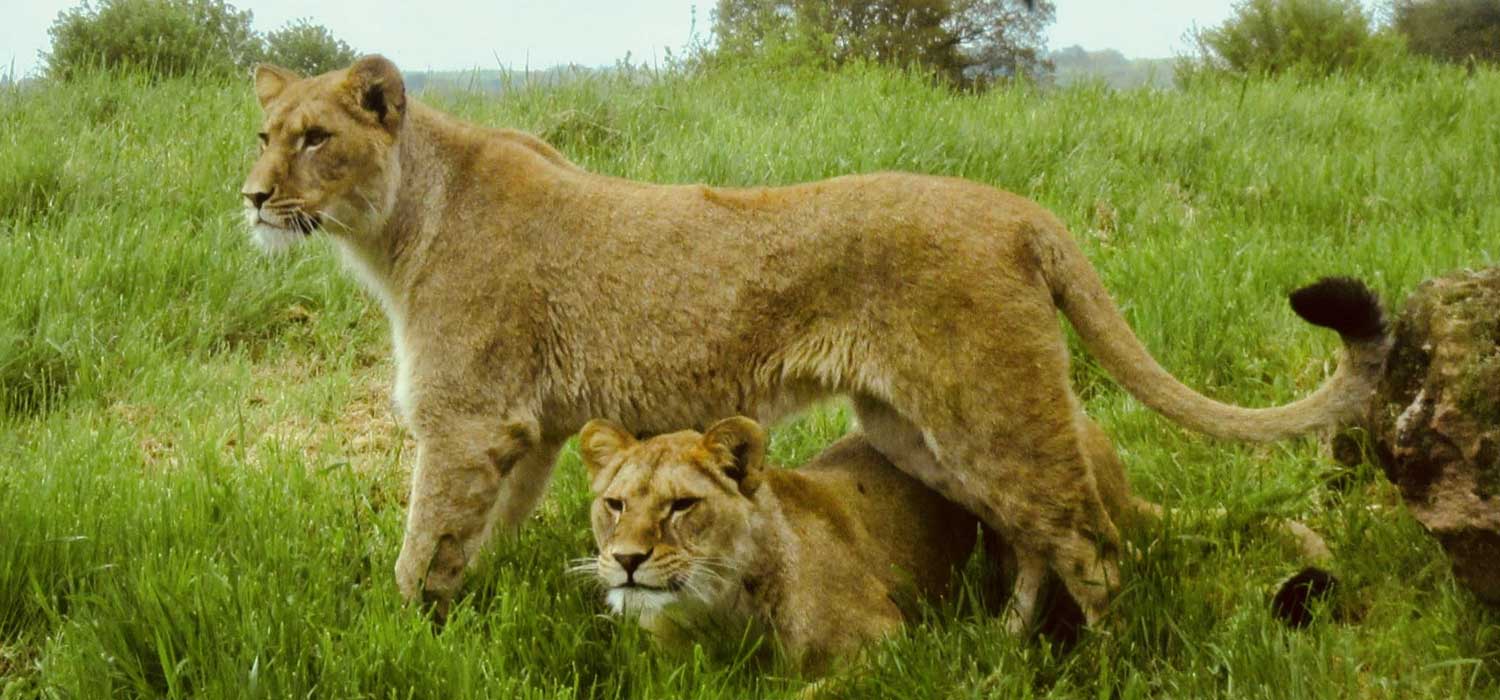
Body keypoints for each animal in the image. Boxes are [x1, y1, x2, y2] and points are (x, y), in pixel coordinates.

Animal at [241, 55, 1387, 626]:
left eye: (317, 138)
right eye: (263, 134)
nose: (250, 196)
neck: (394, 229)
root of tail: (1019, 211)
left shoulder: (467, 421)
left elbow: (423, 541)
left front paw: (399, 634)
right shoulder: (527, 431)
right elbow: (474, 541)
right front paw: (461, 618)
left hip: (990, 408)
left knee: (1094, 547)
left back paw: (1097, 666)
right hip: (919, 432)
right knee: (1031, 537)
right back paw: (1007, 650)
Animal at [577, 414, 1336, 670]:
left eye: (682, 506)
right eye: (615, 505)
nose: (627, 562)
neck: (716, 607)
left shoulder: (882, 645)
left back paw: (994, 640)